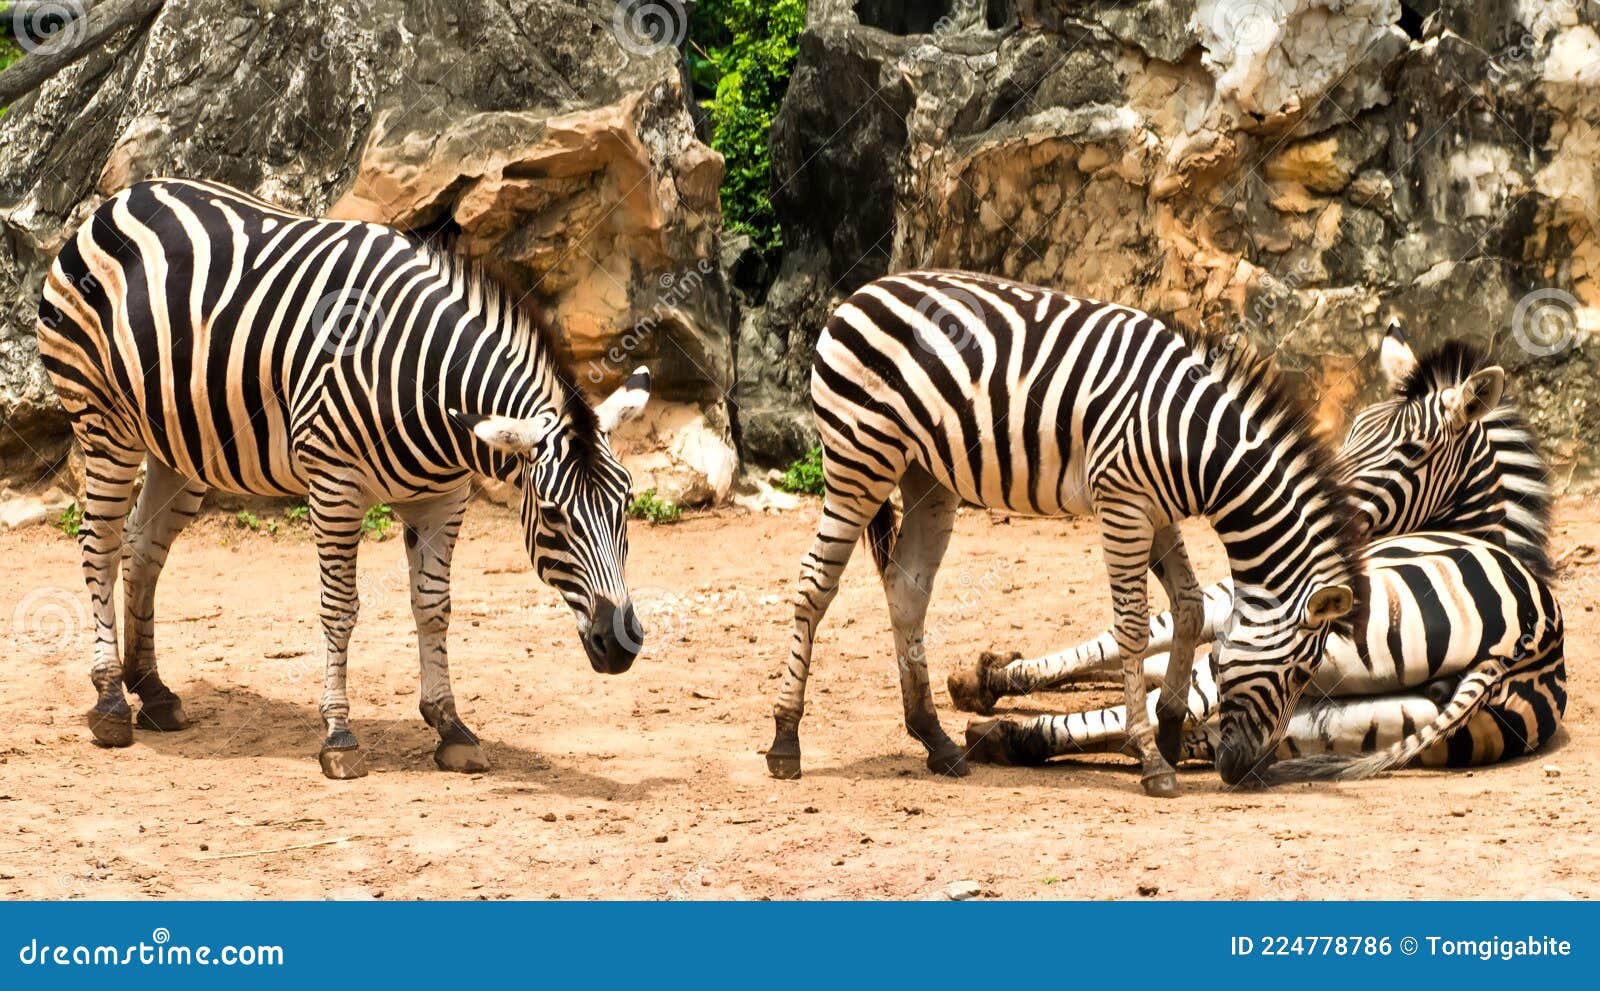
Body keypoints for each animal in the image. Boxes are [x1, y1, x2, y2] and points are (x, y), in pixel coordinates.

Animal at [35, 177, 652, 780]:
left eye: (625, 505)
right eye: (551, 516)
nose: (620, 645)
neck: (424, 381)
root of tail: (124, 195)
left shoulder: (445, 498)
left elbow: (434, 607)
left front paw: (451, 727)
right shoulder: (335, 486)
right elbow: (339, 609)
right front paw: (338, 734)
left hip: (180, 445)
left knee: (142, 549)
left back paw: (154, 691)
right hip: (104, 422)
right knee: (99, 545)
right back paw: (111, 701)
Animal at [767, 269, 1366, 795]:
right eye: (1300, 675)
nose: (1251, 774)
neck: (1196, 443)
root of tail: (860, 292)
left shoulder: (1156, 512)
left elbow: (1191, 606)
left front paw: (1171, 730)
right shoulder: (1123, 504)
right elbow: (1132, 628)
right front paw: (1152, 760)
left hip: (925, 476)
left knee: (906, 589)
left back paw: (935, 741)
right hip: (859, 457)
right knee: (814, 585)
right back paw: (785, 742)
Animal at [958, 330, 1565, 776]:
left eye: (1413, 450)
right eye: (1354, 429)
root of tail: (1525, 645)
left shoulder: (1245, 600)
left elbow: (1135, 640)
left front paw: (996, 678)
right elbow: (1148, 657)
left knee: (1175, 706)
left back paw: (1003, 735)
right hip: (1346, 721)